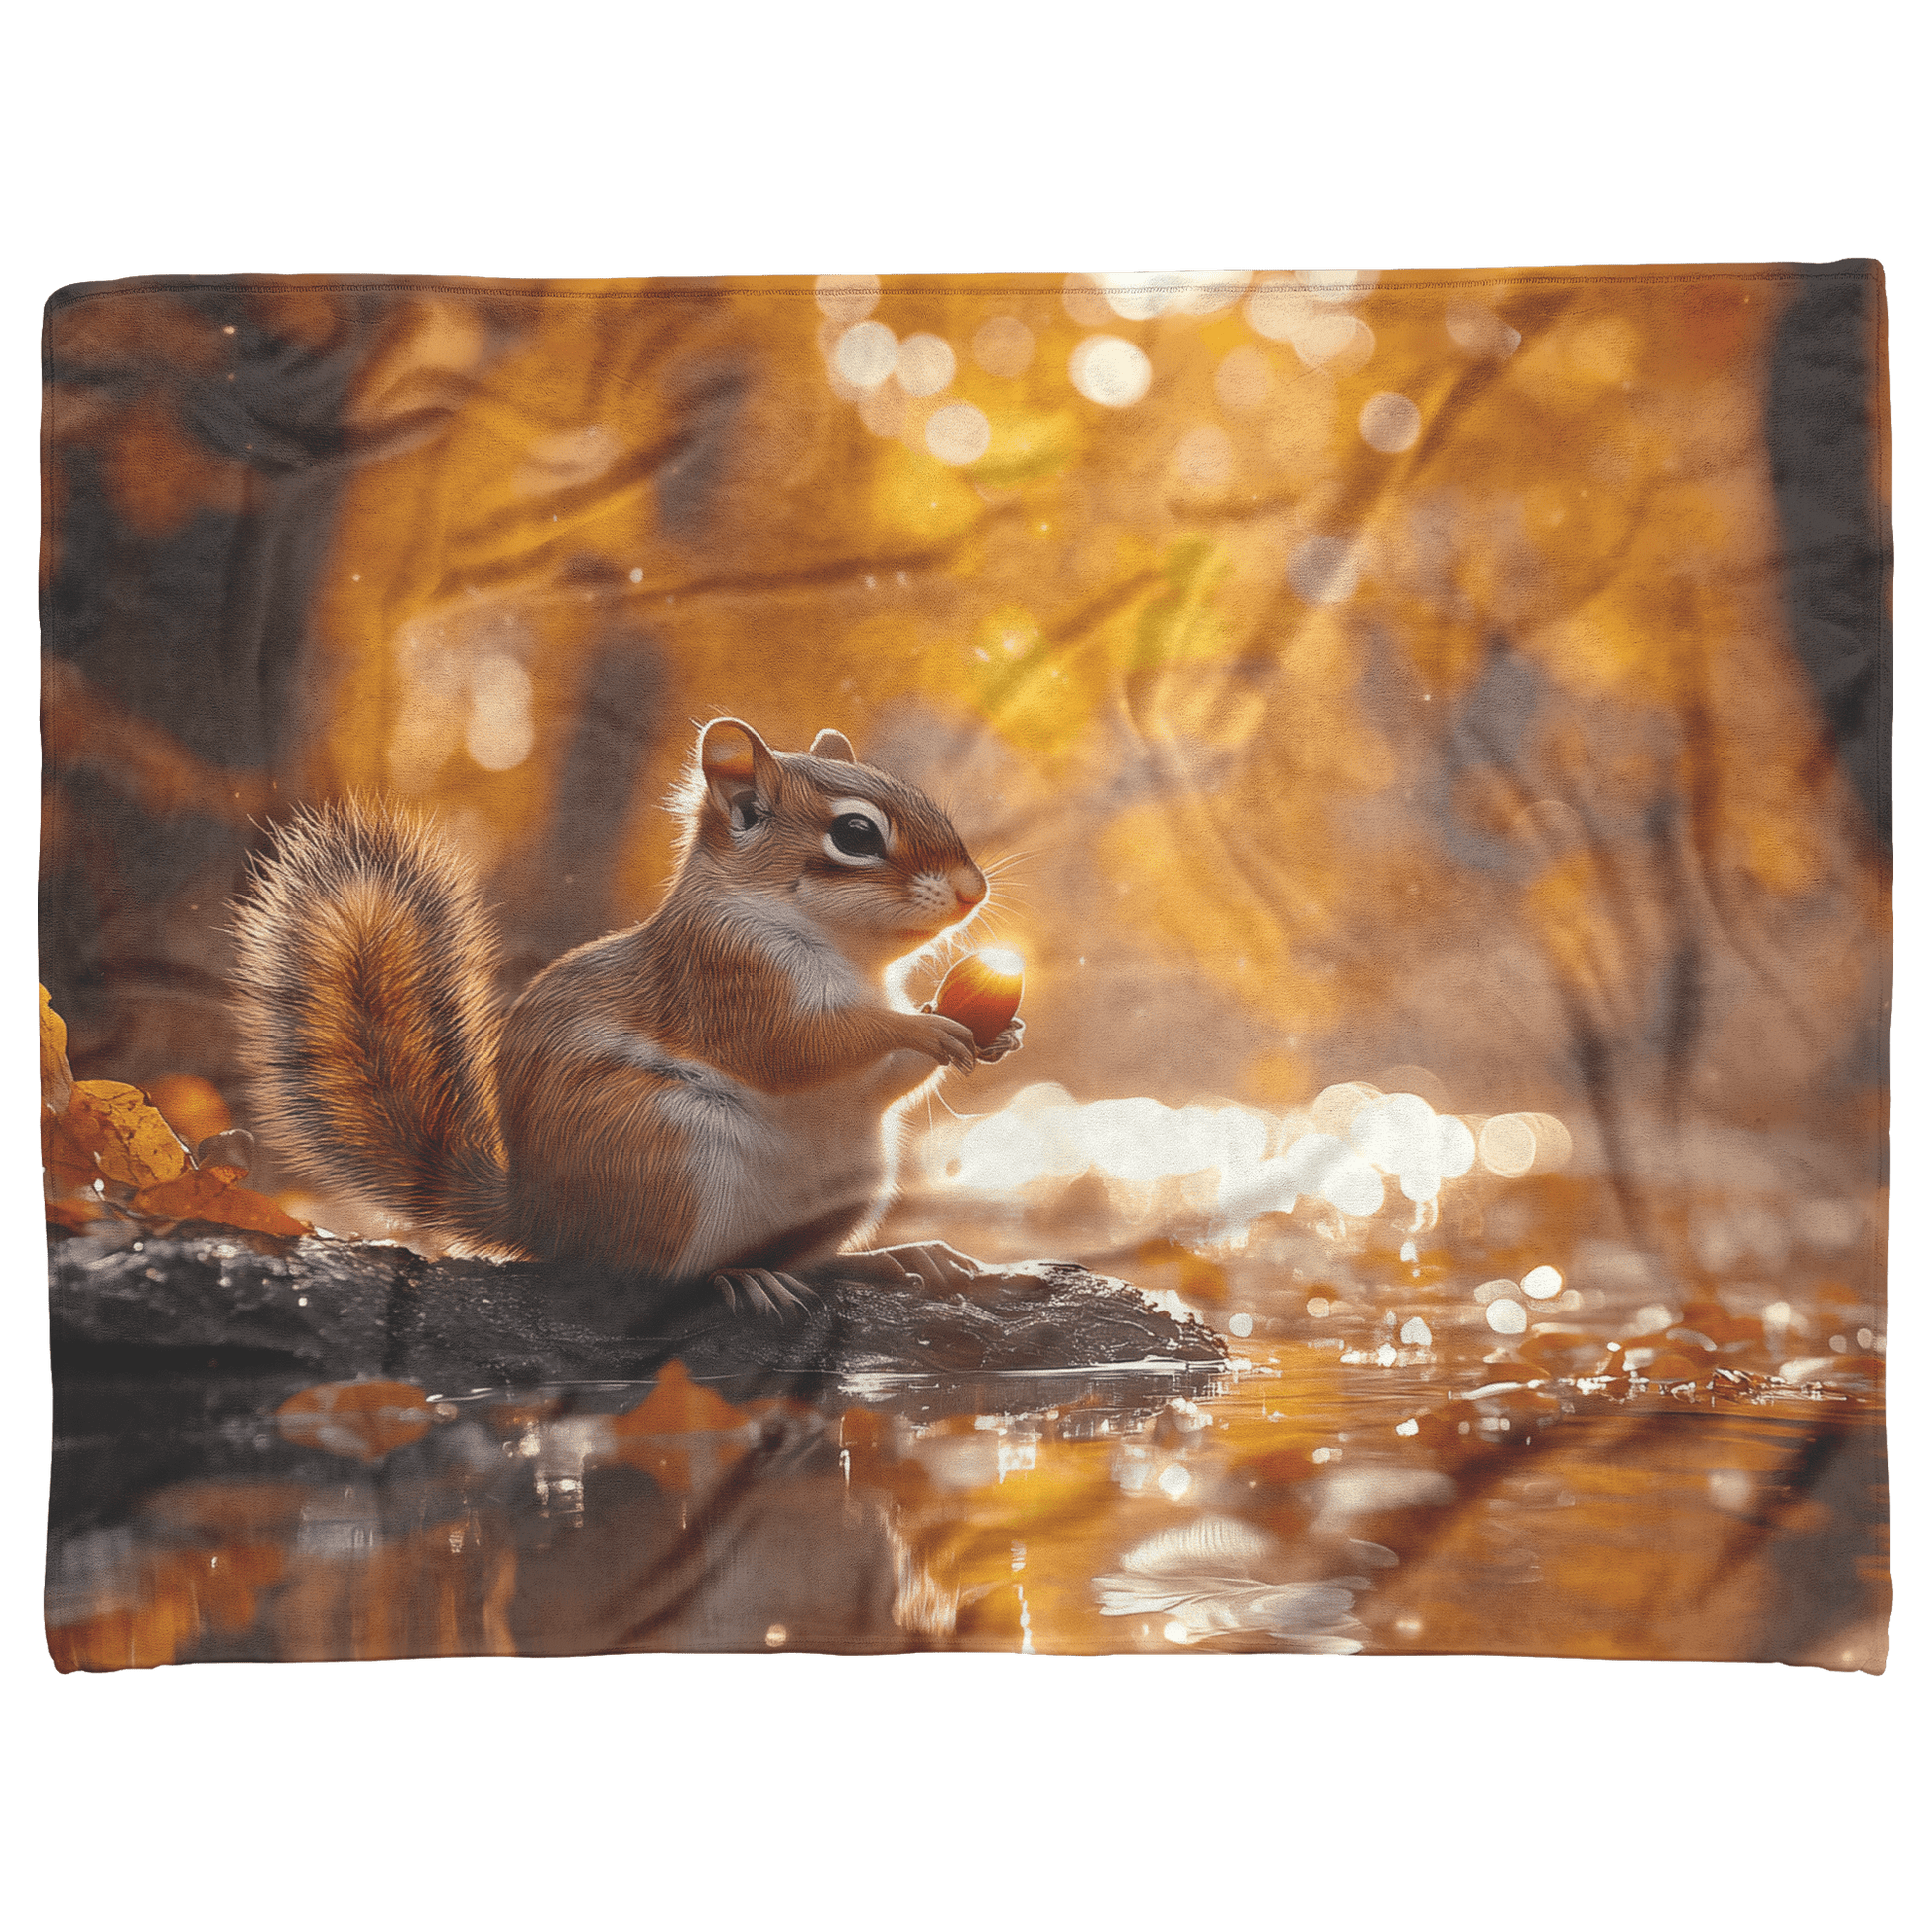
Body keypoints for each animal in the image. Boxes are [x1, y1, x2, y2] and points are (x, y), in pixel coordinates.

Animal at [230, 717, 1021, 1316]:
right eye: (856, 835)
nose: (973, 890)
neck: (845, 952)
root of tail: (541, 1220)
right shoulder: (725, 983)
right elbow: (799, 1047)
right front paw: (922, 1026)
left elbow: (876, 1080)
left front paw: (993, 1034)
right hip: (667, 1156)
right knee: (654, 1273)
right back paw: (738, 1277)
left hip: (850, 1181)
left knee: (804, 1256)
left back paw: (890, 1257)